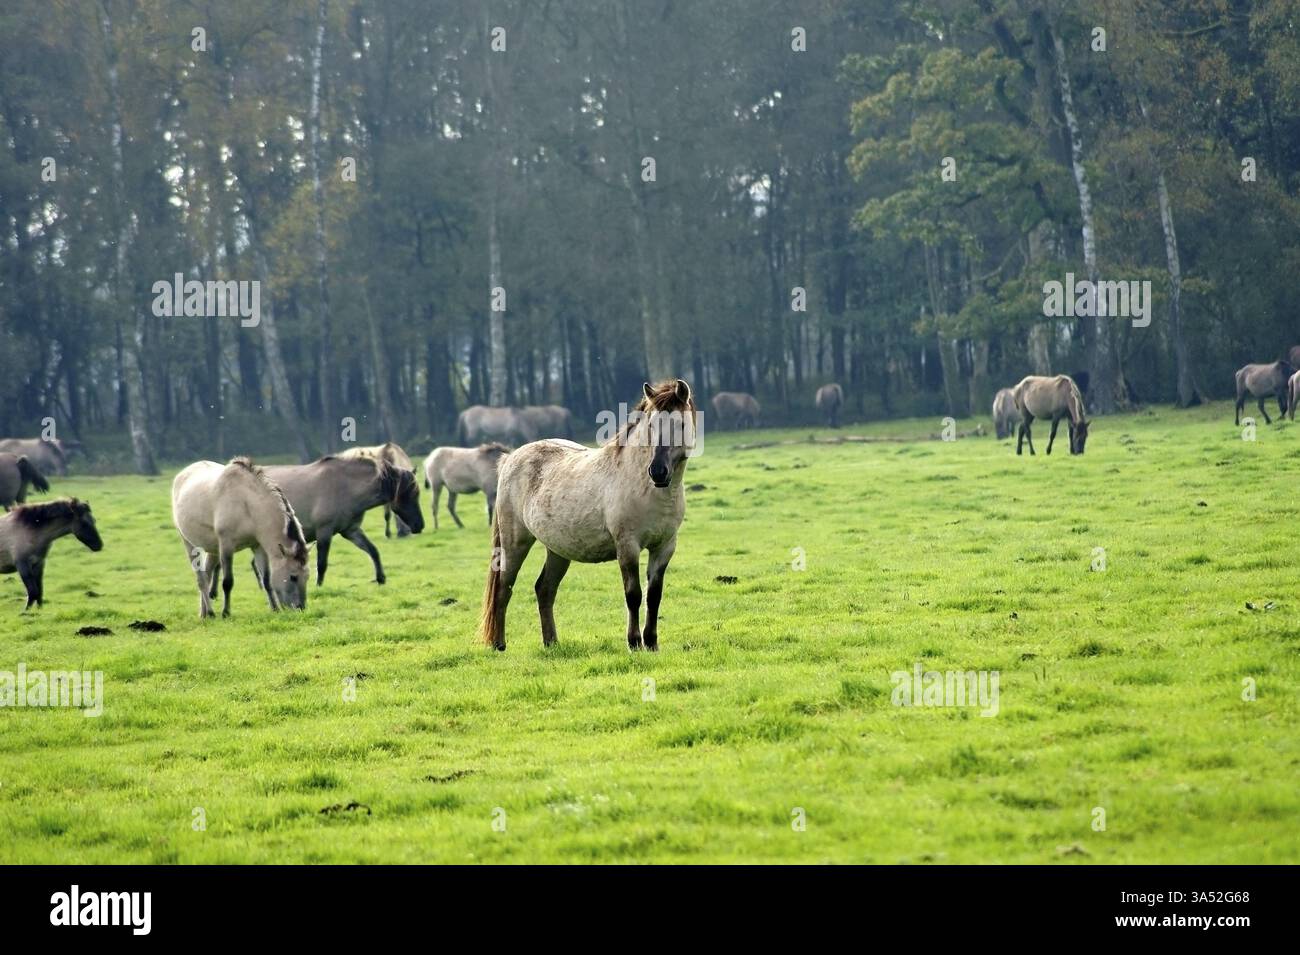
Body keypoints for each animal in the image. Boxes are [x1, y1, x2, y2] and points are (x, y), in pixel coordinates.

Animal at [172, 457, 310, 618]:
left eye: (307, 576)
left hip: (213, 549)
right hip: (189, 543)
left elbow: (266, 580)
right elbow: (227, 582)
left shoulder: (258, 547)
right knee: (201, 579)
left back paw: (204, 613)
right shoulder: (226, 546)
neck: (246, 504)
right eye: (293, 577)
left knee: (207, 574)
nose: (301, 607)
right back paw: (210, 613)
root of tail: (181, 475)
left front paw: (274, 608)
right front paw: (226, 612)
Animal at [252, 455, 424, 592]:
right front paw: (318, 586)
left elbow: (373, 551)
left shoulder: (351, 531)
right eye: (408, 495)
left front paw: (381, 578)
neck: (344, 487)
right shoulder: (324, 531)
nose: (419, 525)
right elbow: (322, 563)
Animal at [481, 379, 697, 652]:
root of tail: (510, 458)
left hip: (558, 550)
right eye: (650, 425)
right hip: (514, 544)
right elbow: (634, 595)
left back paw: (552, 643)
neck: (644, 486)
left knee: (544, 589)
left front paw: (651, 643)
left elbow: (654, 596)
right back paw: (499, 644)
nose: (658, 471)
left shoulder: (664, 547)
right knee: (504, 588)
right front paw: (634, 642)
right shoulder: (627, 546)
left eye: (681, 424)